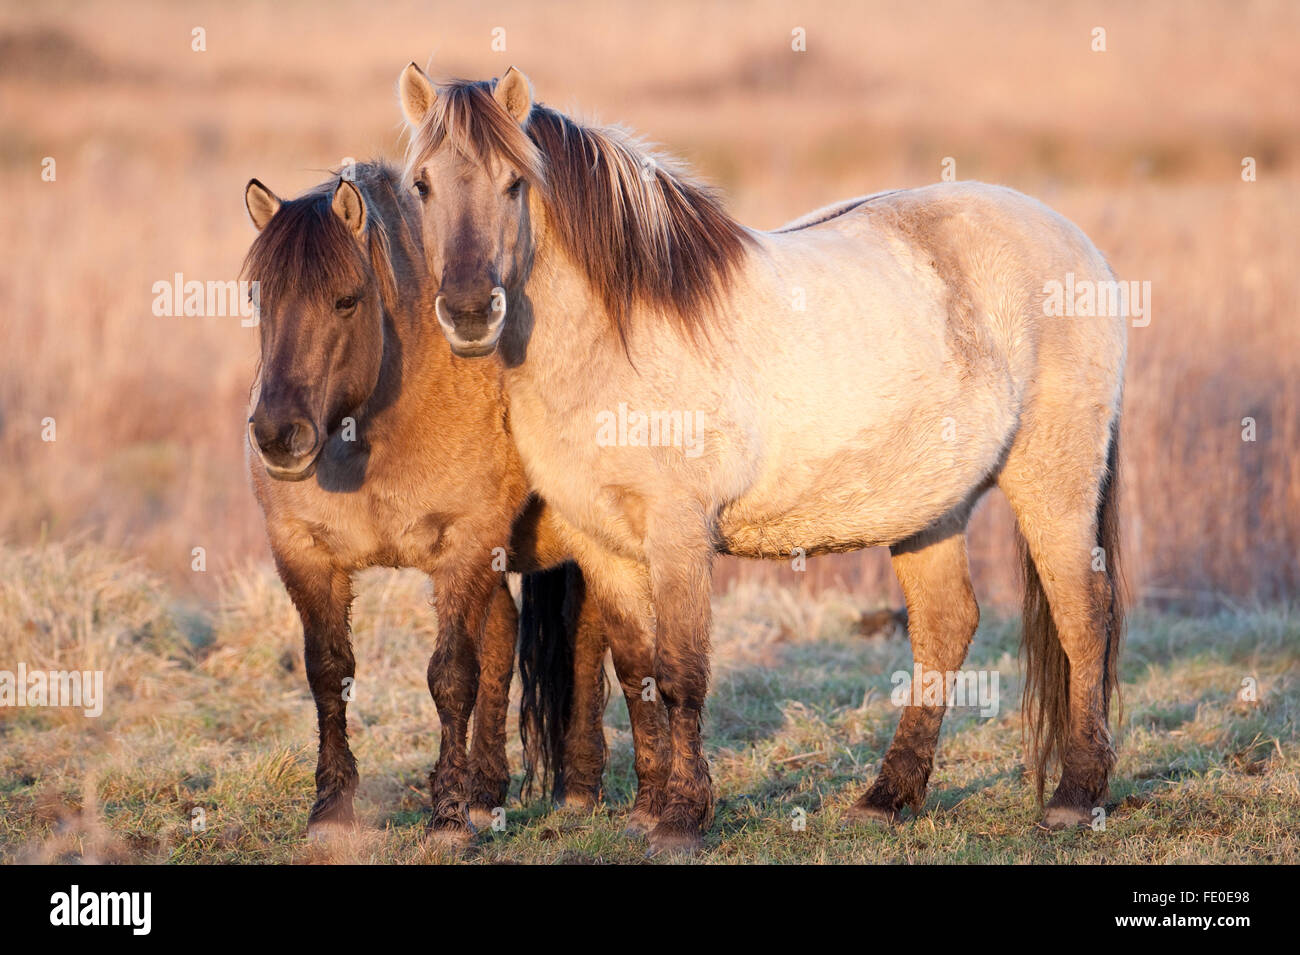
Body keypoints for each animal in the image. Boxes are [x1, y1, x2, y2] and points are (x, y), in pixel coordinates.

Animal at [240, 161, 668, 842]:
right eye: (259, 299)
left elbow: (451, 676)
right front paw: (333, 810)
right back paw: (488, 794)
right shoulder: (305, 555)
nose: (278, 436)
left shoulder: (464, 548)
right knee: (506, 640)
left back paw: (576, 789)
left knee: (586, 638)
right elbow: (329, 673)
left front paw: (446, 817)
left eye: (346, 299)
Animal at [397, 64, 1127, 855]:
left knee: (1083, 617)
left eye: (514, 183)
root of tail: (1079, 246)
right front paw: (647, 809)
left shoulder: (680, 536)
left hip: (1053, 481)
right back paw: (887, 797)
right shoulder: (603, 545)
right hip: (931, 505)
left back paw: (1075, 795)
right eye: (422, 185)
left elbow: (681, 673)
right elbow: (636, 667)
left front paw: (682, 819)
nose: (470, 313)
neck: (617, 339)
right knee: (946, 626)